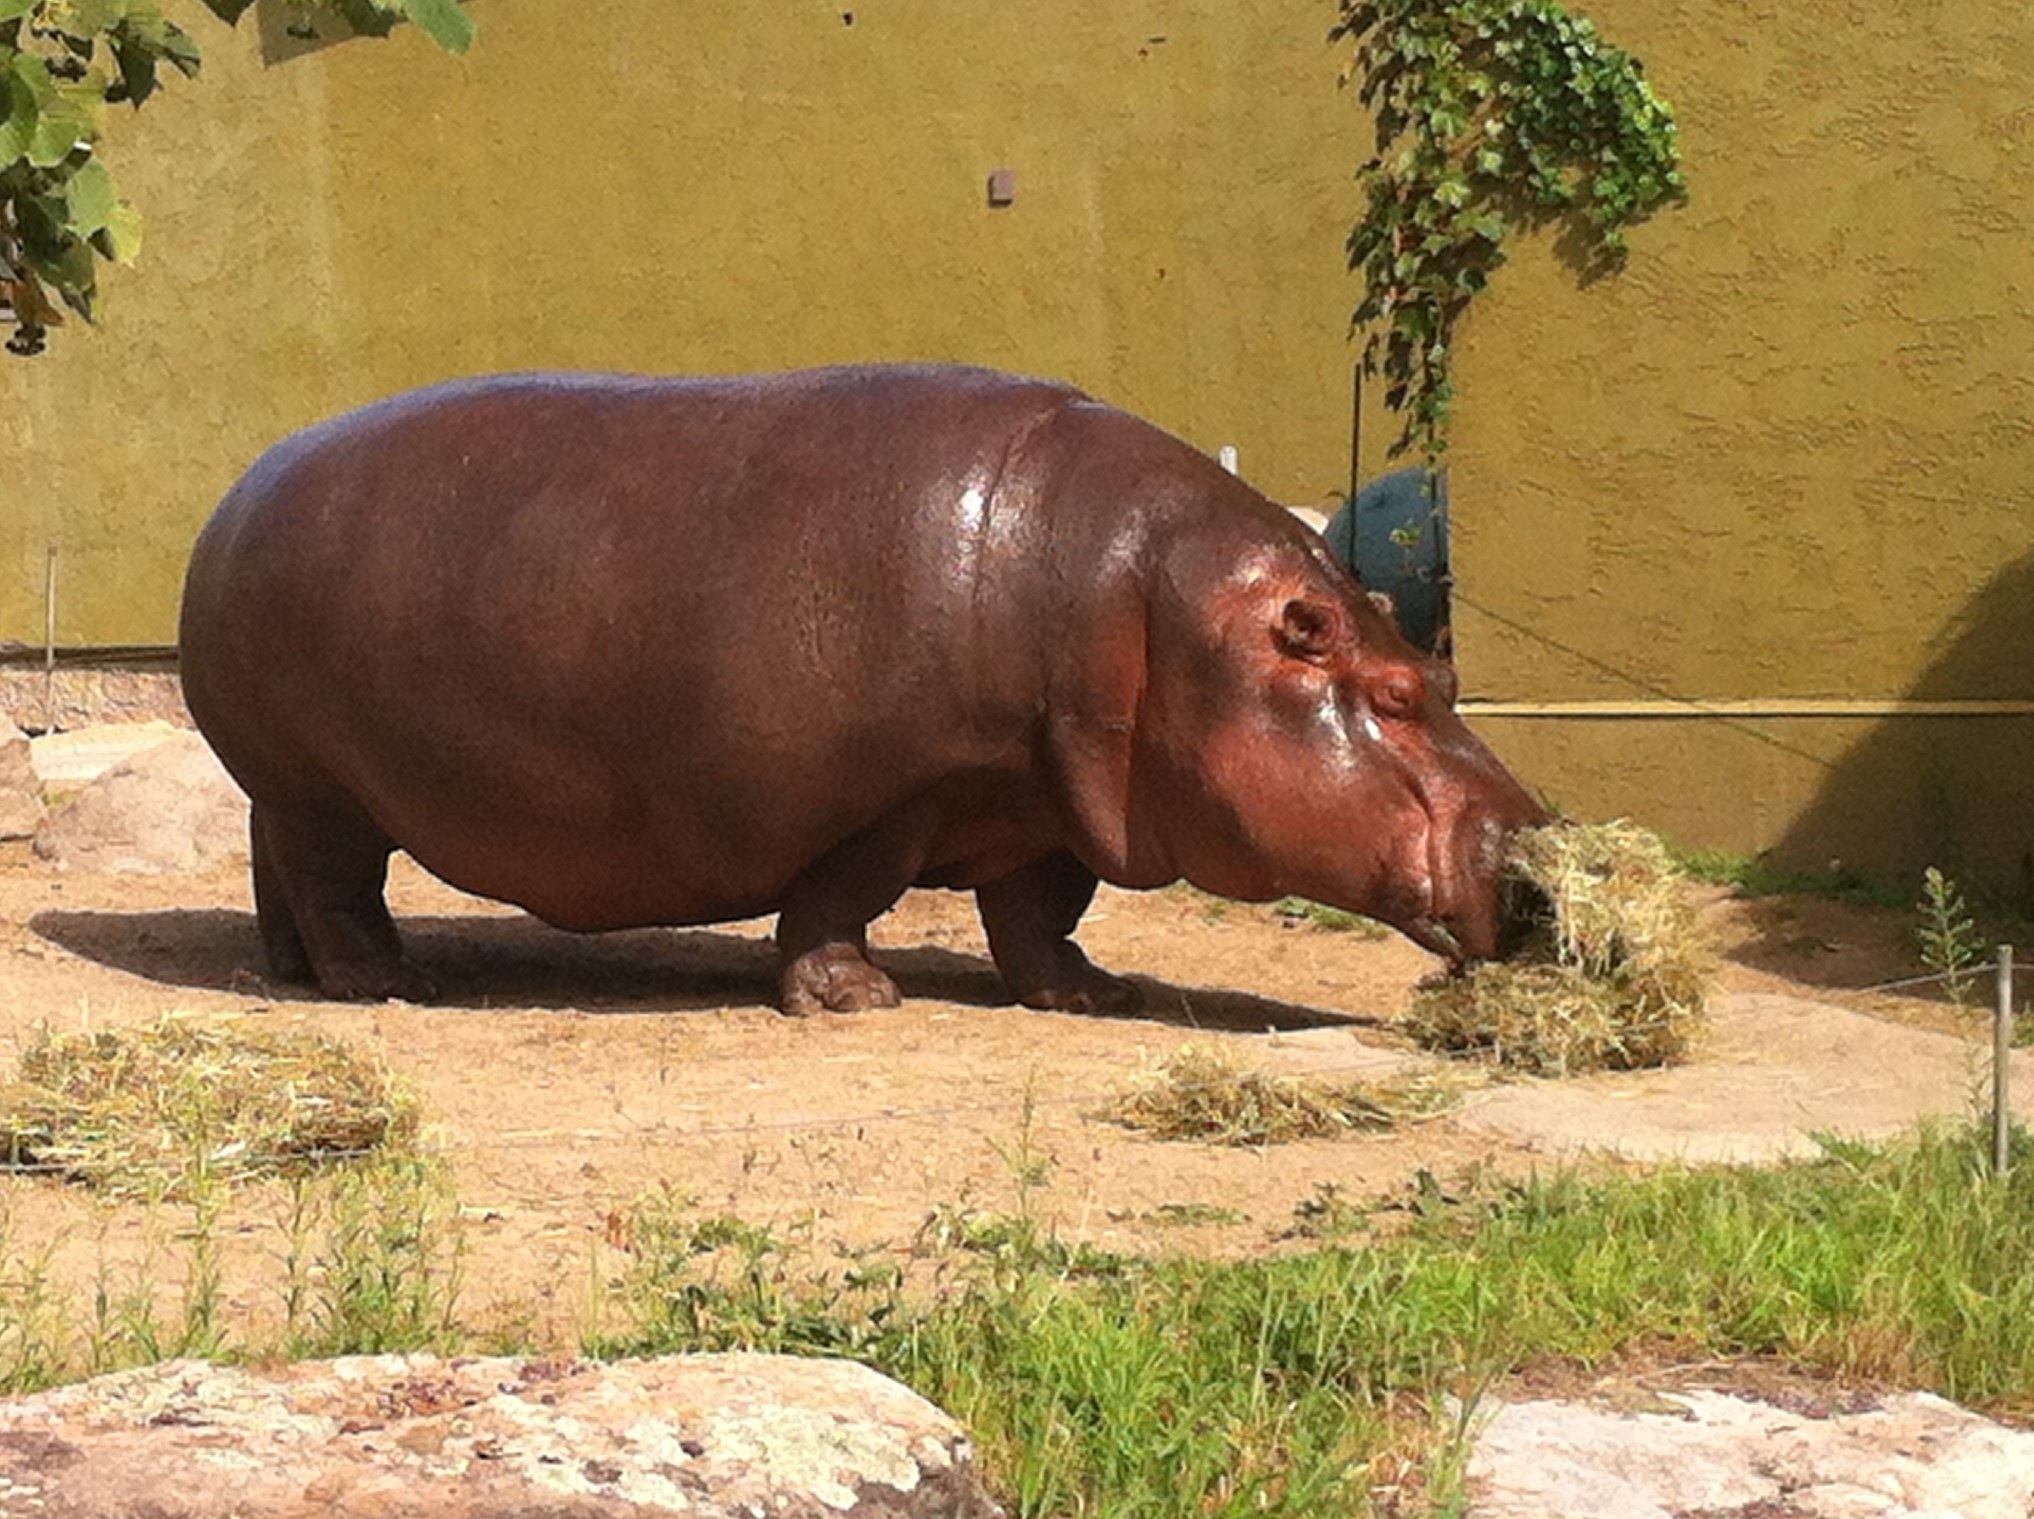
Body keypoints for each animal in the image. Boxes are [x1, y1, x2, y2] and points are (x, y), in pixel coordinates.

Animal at [179, 364, 1545, 1014]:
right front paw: (852, 998)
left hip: (286, 786)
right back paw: (384, 981)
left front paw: (1095, 995)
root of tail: (238, 490)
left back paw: (291, 971)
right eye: (1394, 694)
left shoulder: (1044, 795)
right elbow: (847, 893)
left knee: (273, 867)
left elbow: (1041, 910)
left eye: (1437, 669)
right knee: (337, 883)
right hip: (325, 789)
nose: (1541, 848)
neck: (1148, 605)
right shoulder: (902, 789)